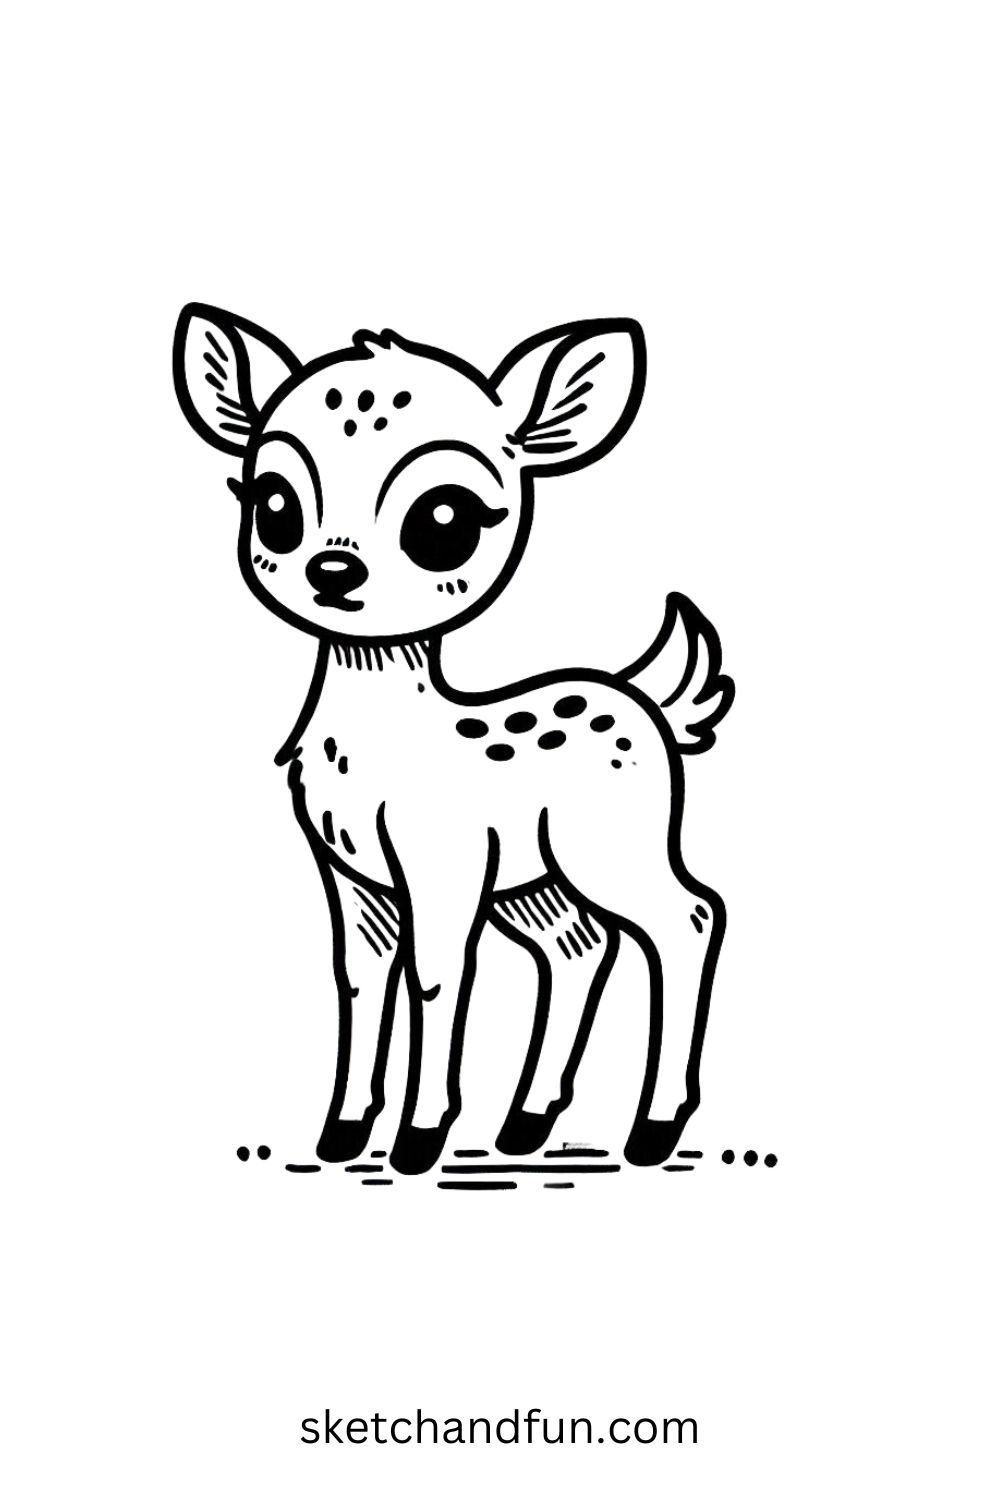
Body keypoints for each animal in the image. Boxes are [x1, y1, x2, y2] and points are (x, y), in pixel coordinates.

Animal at [173, 305, 734, 1175]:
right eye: (273, 503)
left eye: (445, 521)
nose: (333, 571)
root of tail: (646, 703)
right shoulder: (353, 874)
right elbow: (359, 976)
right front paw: (344, 1133)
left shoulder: (444, 860)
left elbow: (436, 974)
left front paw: (418, 1140)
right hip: (538, 881)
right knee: (581, 947)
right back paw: (525, 1124)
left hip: (610, 845)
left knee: (689, 917)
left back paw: (653, 1127)